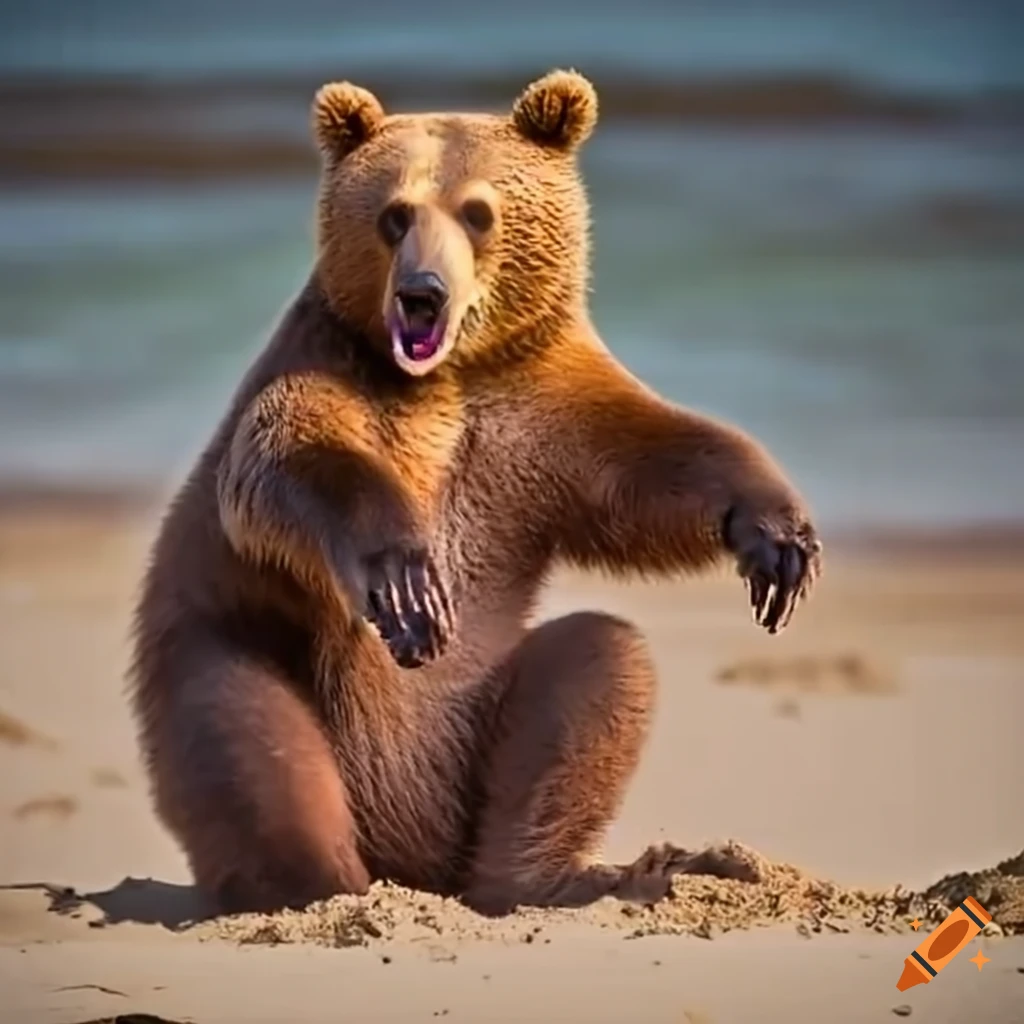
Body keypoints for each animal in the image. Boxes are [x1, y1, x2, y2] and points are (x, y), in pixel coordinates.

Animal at [128, 69, 822, 918]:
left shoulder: (532, 411)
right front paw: (406, 586)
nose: (421, 294)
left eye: (478, 210)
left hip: (472, 725)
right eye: (394, 213)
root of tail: (413, 859)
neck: (448, 374)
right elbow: (295, 463)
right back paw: (318, 887)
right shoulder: (332, 377)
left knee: (597, 669)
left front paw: (777, 539)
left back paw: (562, 879)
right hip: (245, 648)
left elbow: (646, 463)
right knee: (258, 757)